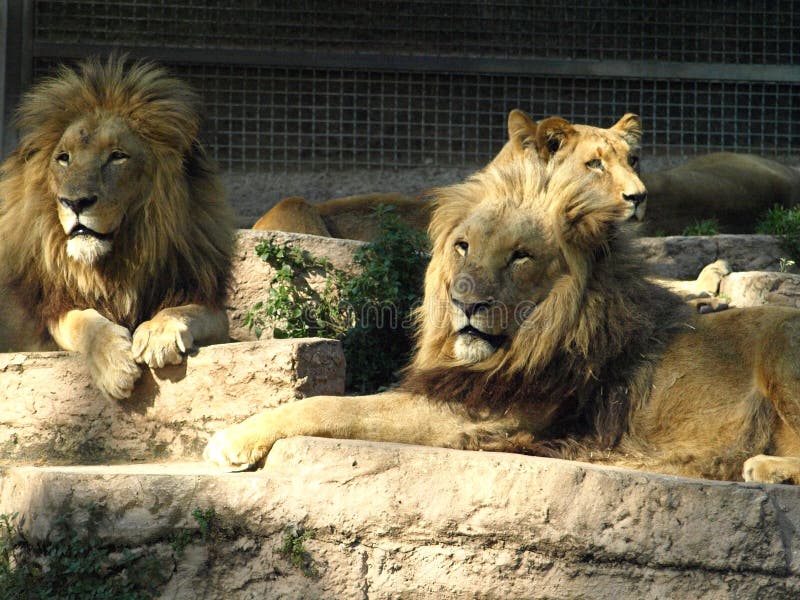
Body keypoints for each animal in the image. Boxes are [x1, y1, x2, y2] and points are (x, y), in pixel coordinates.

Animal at [0, 56, 235, 400]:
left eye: (117, 156)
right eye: (64, 158)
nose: (75, 202)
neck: (118, 261)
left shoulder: (210, 304)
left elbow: (184, 310)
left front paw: (158, 334)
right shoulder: (50, 312)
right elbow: (84, 321)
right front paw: (114, 364)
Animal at [205, 116, 795, 484]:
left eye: (520, 257)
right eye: (463, 246)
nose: (464, 303)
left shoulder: (484, 418)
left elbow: (333, 406)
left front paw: (231, 439)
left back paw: (762, 466)